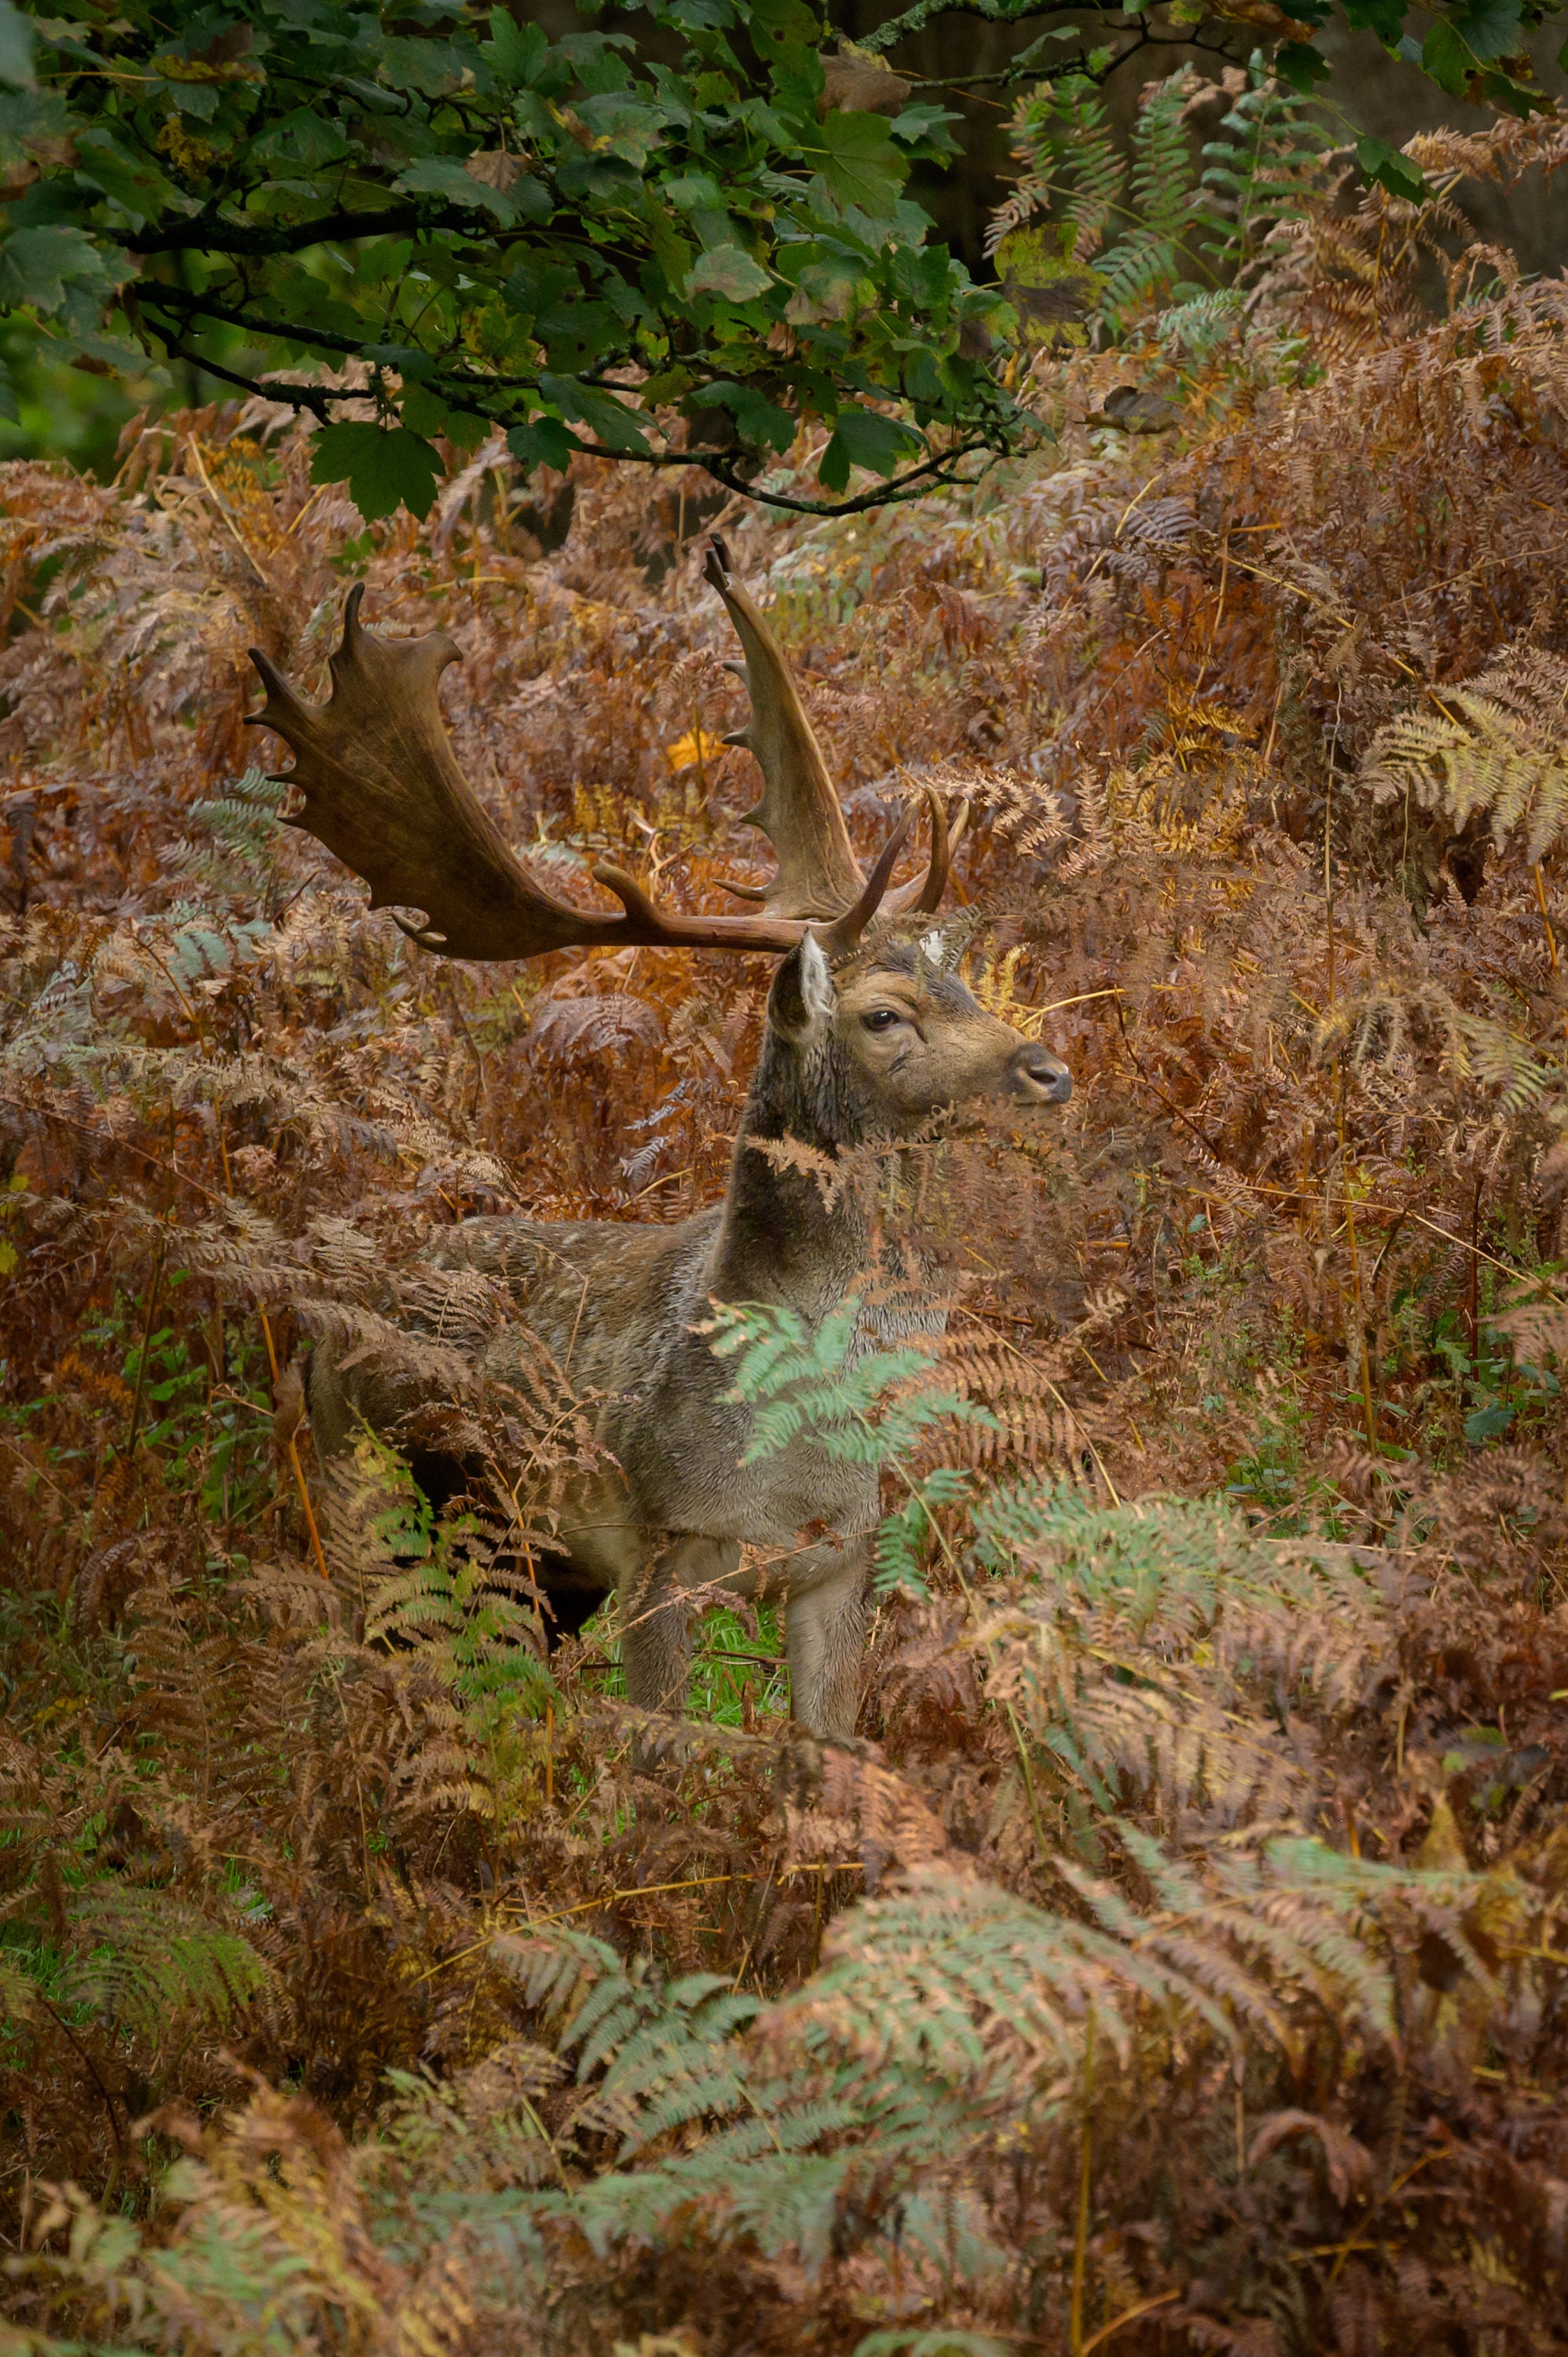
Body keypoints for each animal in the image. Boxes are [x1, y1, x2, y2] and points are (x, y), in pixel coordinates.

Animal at [248, 544, 1071, 1739]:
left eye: (959, 982)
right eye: (883, 1015)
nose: (1049, 1071)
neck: (795, 1455)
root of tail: (322, 1317)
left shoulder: (847, 1552)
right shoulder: (659, 1542)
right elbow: (663, 1745)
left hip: (540, 1572)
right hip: (373, 1490)